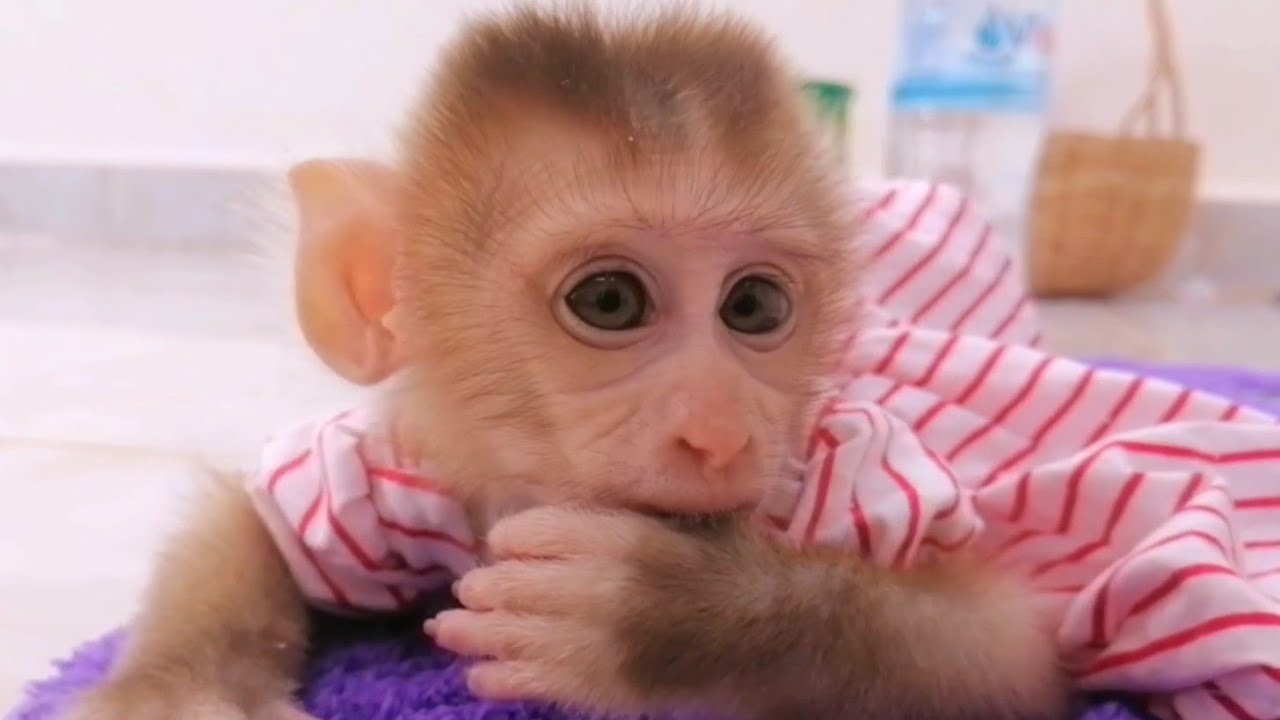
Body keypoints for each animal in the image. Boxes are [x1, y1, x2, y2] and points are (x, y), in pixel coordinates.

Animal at [61, 6, 1072, 720]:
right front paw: (176, 696)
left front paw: (663, 611)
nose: (719, 432)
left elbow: (1005, 647)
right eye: (610, 301)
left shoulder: (855, 466)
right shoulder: (390, 465)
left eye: (753, 307)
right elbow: (252, 519)